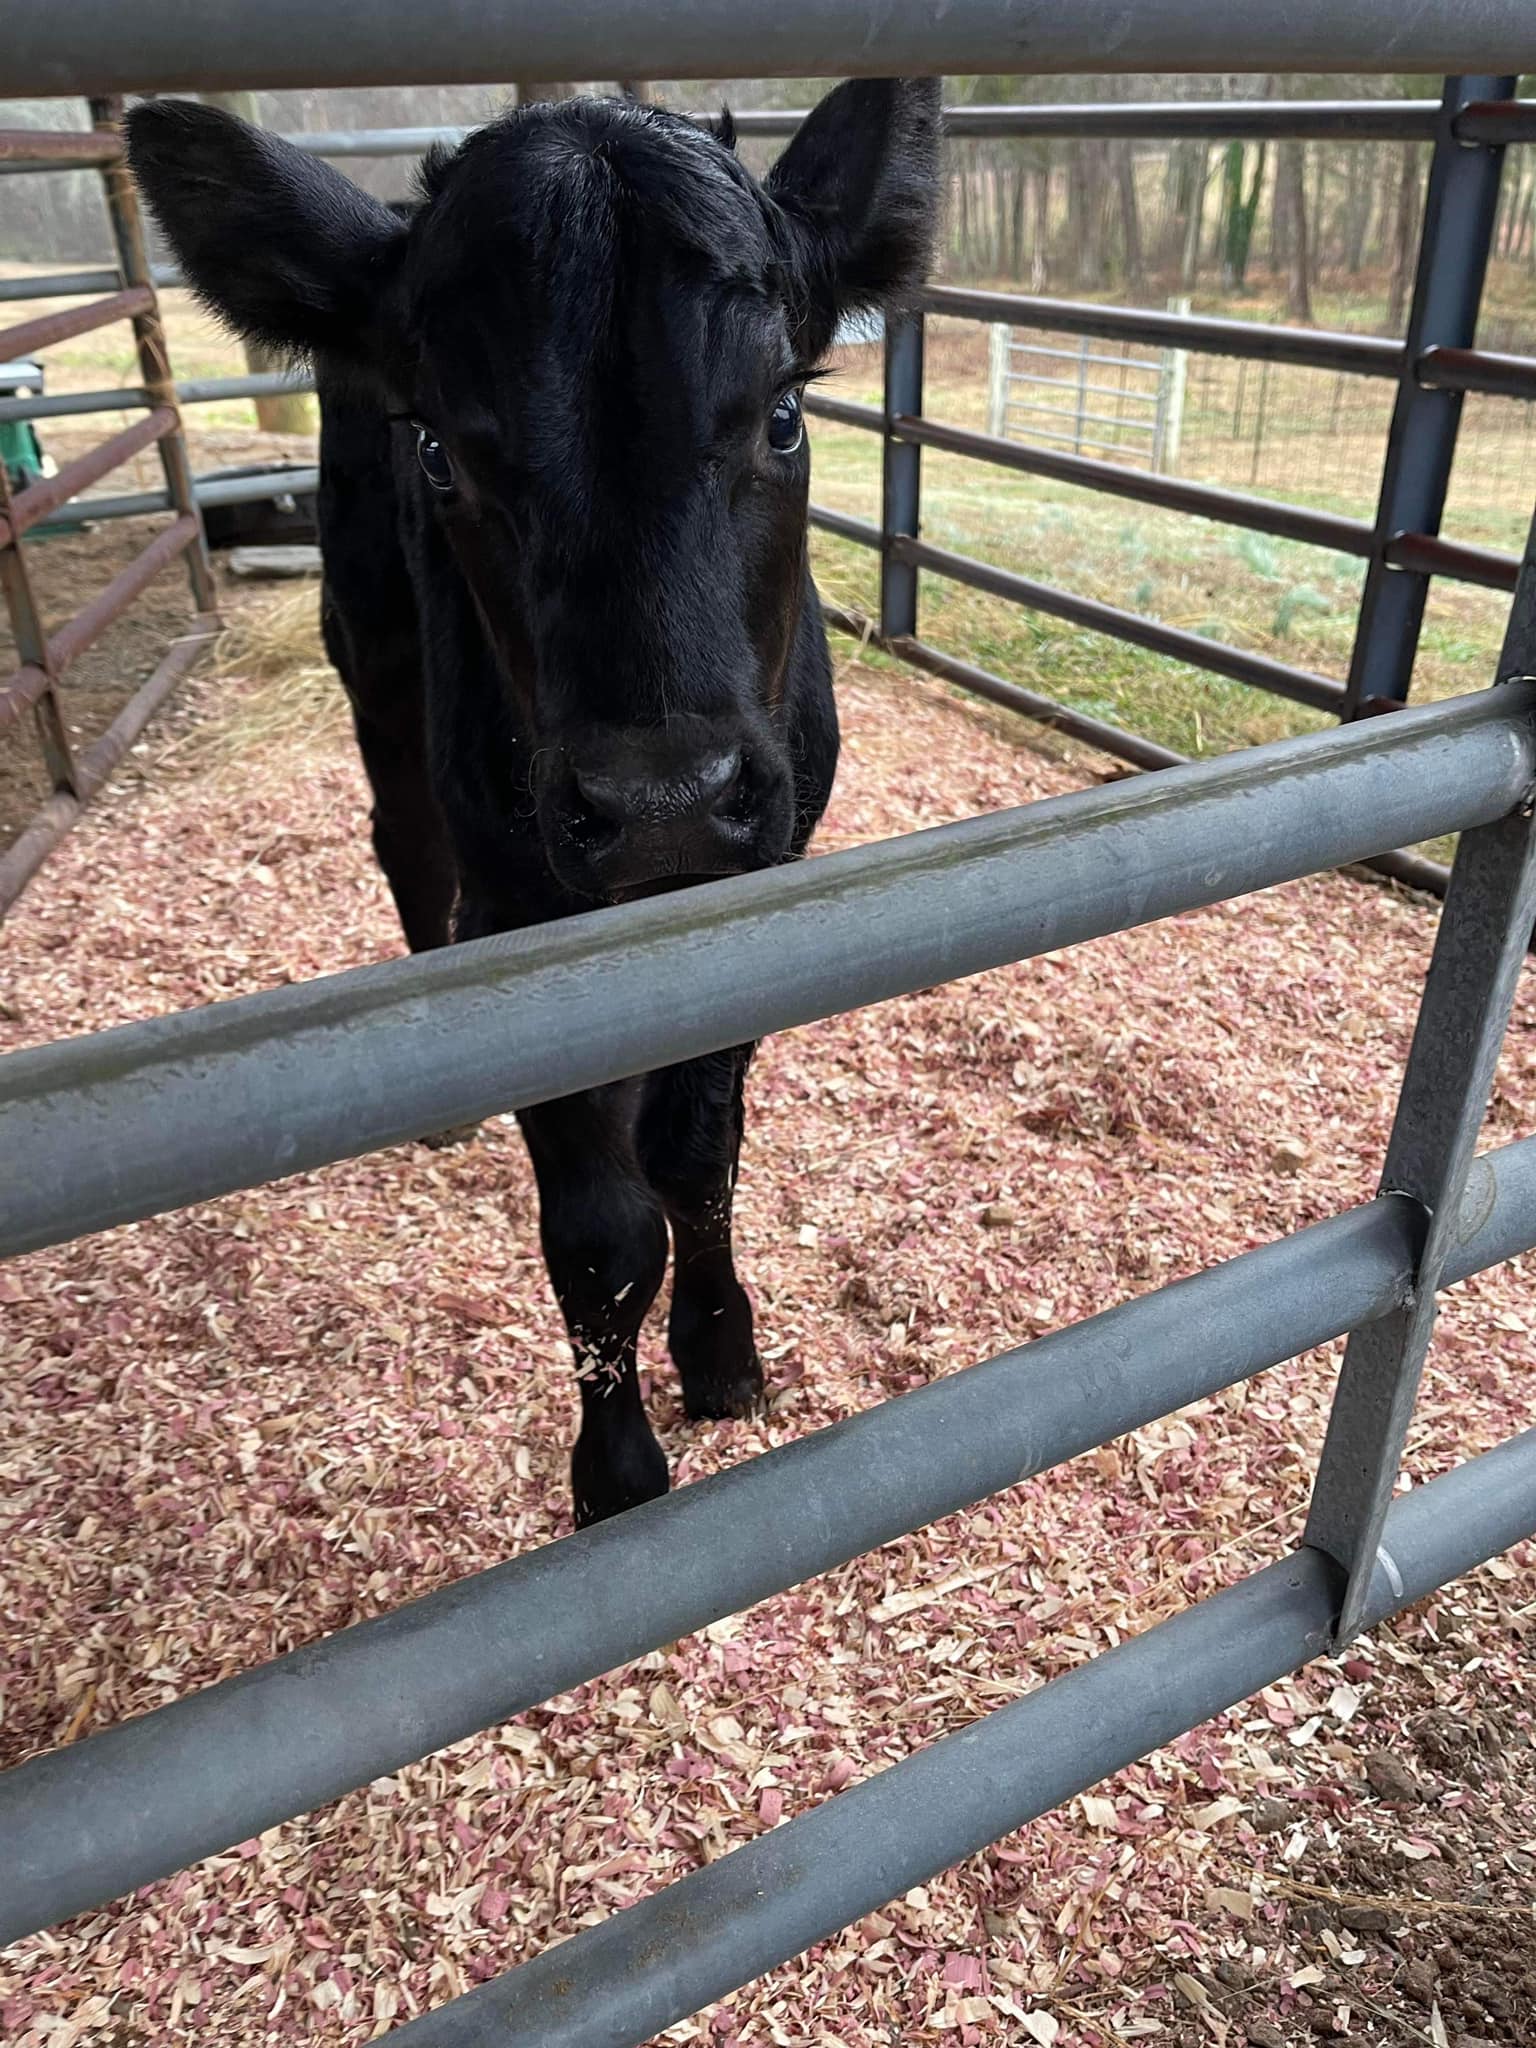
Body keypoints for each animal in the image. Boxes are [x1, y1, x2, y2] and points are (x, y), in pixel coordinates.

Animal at [126, 80, 941, 1525]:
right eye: (443, 453)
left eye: (785, 416)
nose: (665, 797)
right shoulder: (522, 903)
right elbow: (600, 1228)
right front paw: (616, 1471)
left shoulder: (767, 865)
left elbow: (697, 1147)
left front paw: (722, 1352)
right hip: (375, 651)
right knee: (406, 841)